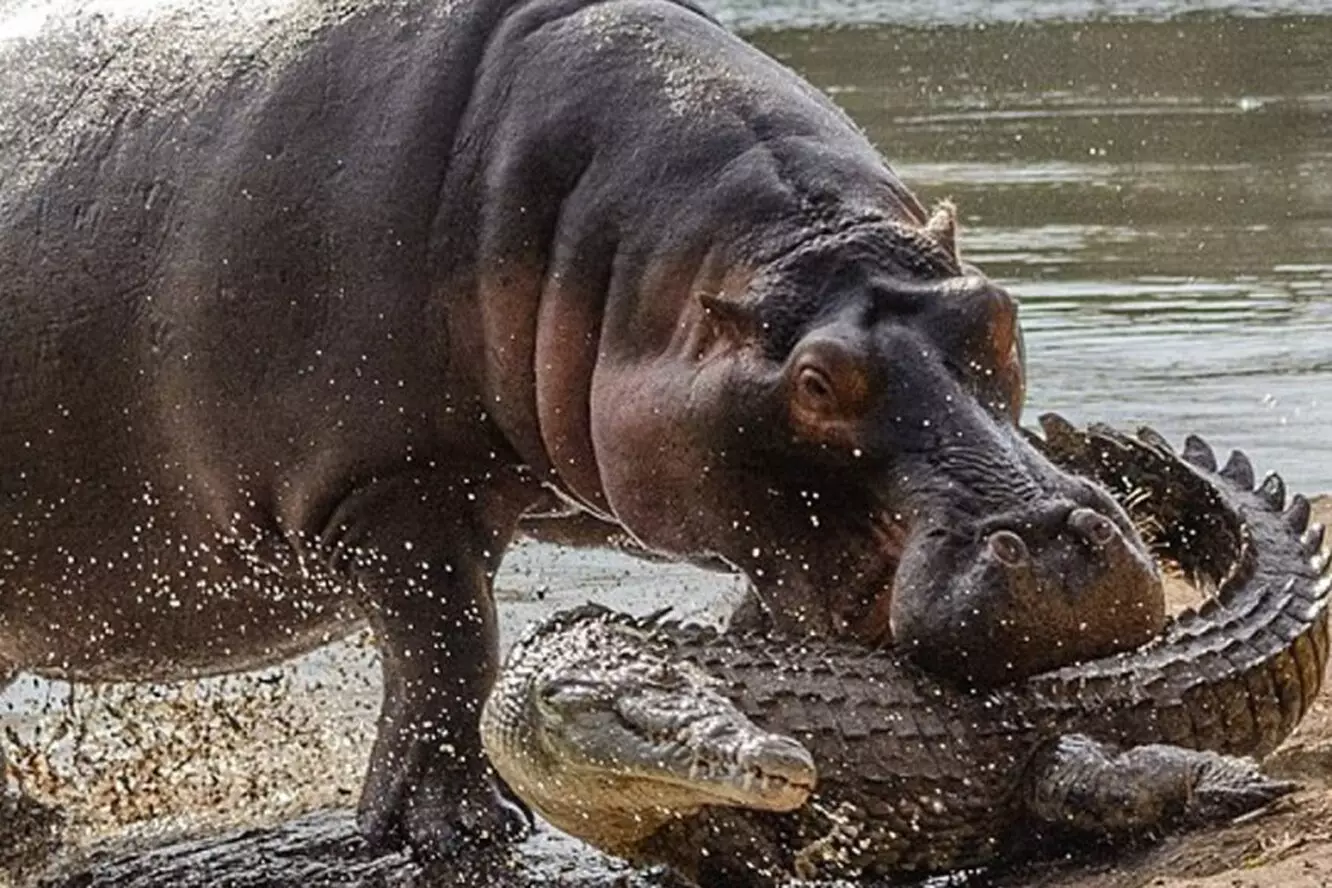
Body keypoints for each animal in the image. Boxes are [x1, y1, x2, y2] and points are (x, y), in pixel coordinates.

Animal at [0, 0, 1161, 862]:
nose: (1058, 543)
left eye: (996, 311)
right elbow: (448, 649)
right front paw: (460, 833)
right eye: (817, 383)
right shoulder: (386, 486)